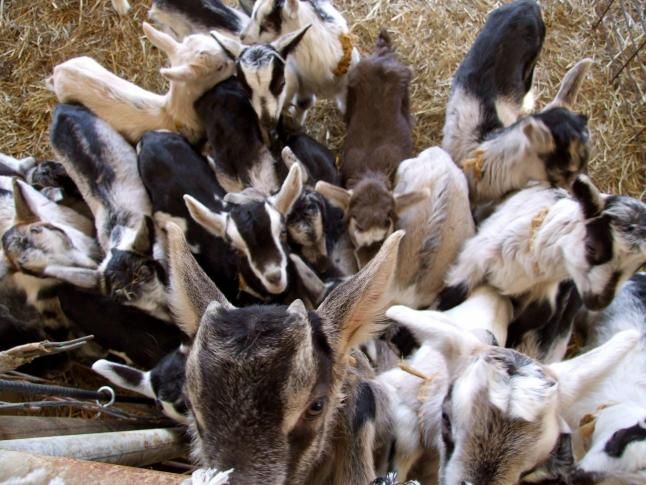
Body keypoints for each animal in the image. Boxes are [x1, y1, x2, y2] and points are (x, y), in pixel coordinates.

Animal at [439, 175, 646, 313]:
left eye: (638, 268)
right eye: (591, 247)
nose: (598, 302)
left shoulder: (542, 295)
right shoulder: (475, 256)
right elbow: (451, 296)